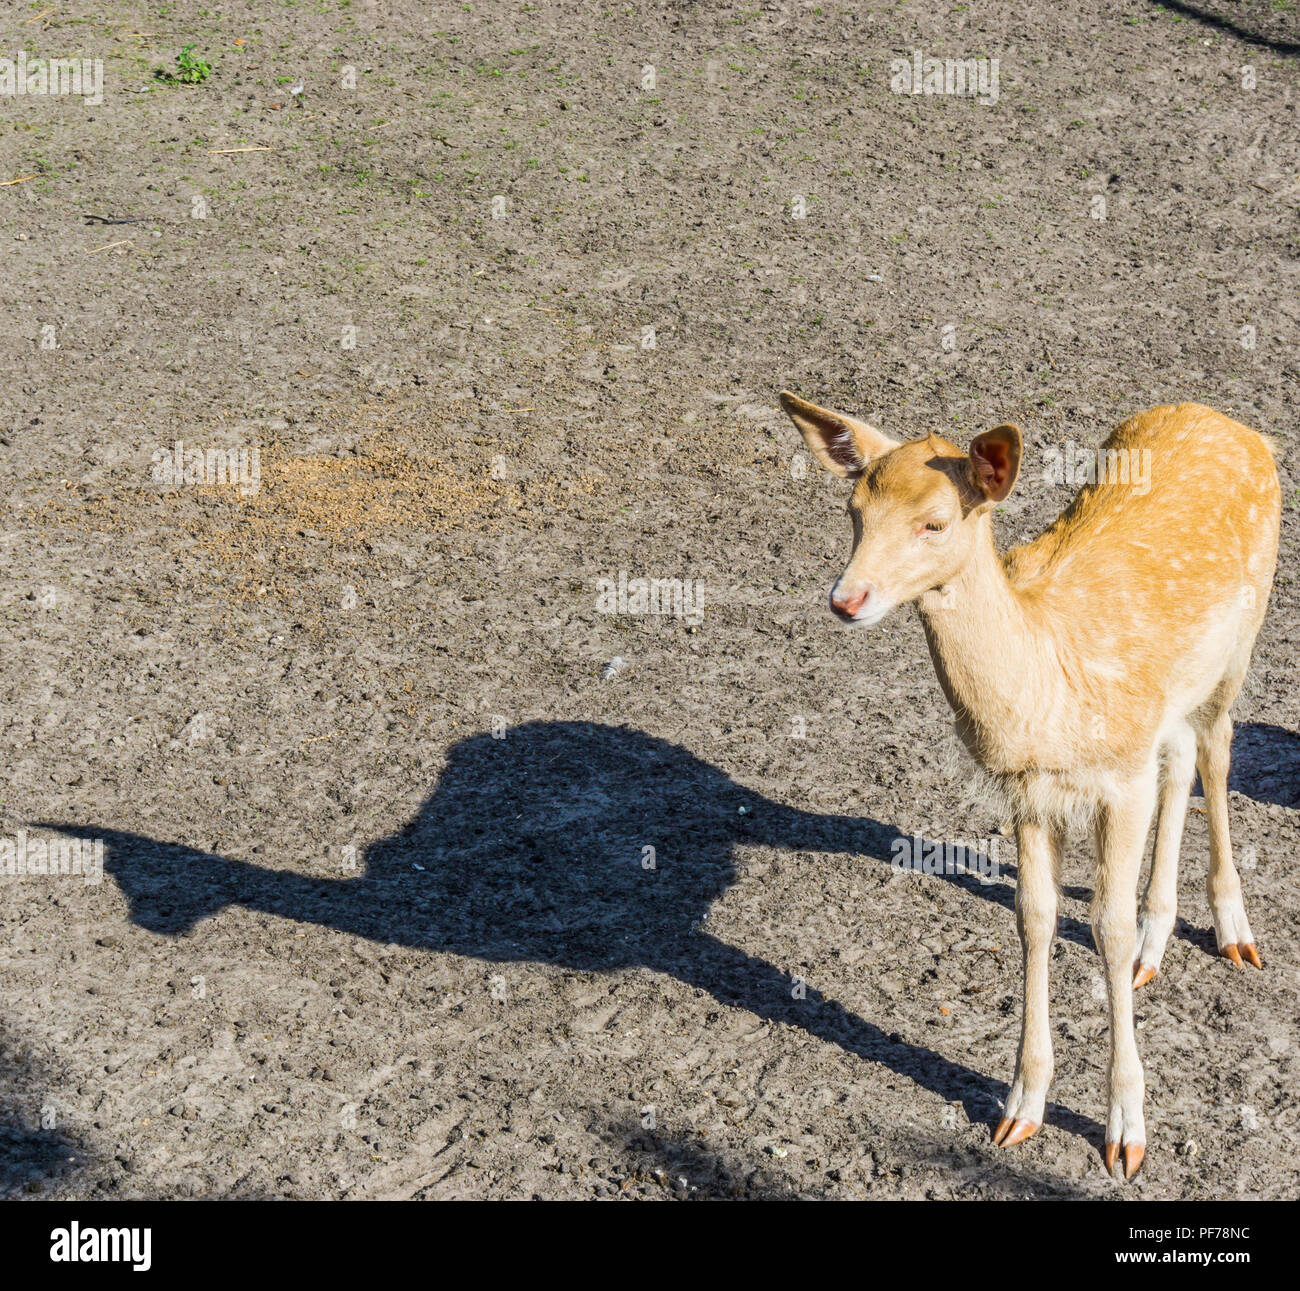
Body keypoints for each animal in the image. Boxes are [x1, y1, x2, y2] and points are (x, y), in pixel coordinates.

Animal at [780, 392, 1281, 1179]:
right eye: (853, 509)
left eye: (936, 522)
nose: (846, 598)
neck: (1046, 695)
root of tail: (1235, 426)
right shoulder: (1029, 792)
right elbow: (1034, 915)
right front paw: (1020, 1107)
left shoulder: (1118, 779)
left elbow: (1104, 925)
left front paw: (1126, 1134)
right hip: (1172, 696)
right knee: (1180, 757)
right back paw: (1156, 943)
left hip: (1243, 638)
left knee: (1218, 747)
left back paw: (1233, 931)